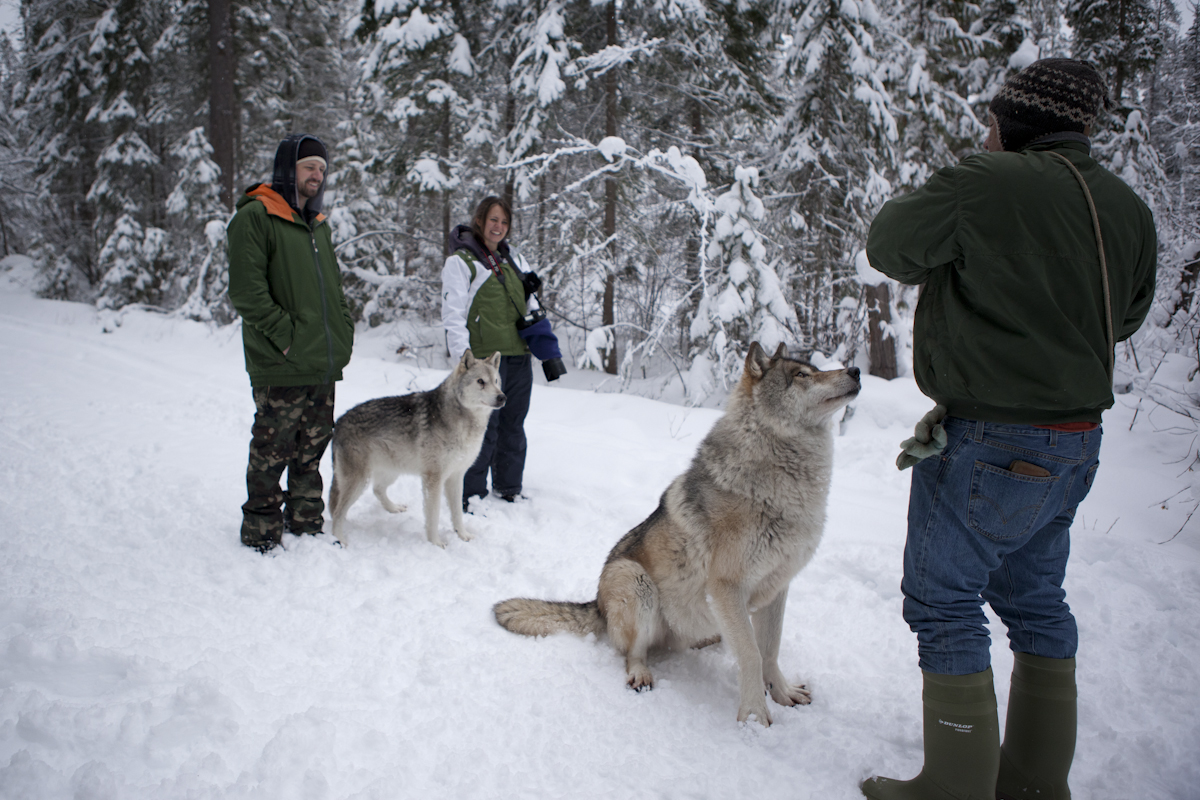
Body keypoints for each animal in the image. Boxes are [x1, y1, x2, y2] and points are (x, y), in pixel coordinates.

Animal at [329, 350, 506, 547]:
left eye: (496, 381)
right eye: (480, 381)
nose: (502, 397)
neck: (463, 422)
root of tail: (339, 422)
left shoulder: (457, 476)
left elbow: (458, 513)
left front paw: (463, 535)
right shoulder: (433, 479)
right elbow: (433, 515)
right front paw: (436, 543)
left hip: (391, 472)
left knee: (377, 490)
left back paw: (394, 508)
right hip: (358, 482)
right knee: (338, 512)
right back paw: (339, 541)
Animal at [494, 342, 860, 725]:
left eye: (814, 369)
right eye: (802, 375)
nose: (856, 371)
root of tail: (596, 604)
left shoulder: (777, 587)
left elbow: (770, 650)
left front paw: (783, 694)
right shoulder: (727, 588)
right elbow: (751, 654)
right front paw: (754, 719)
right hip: (635, 580)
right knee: (634, 654)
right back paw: (641, 674)